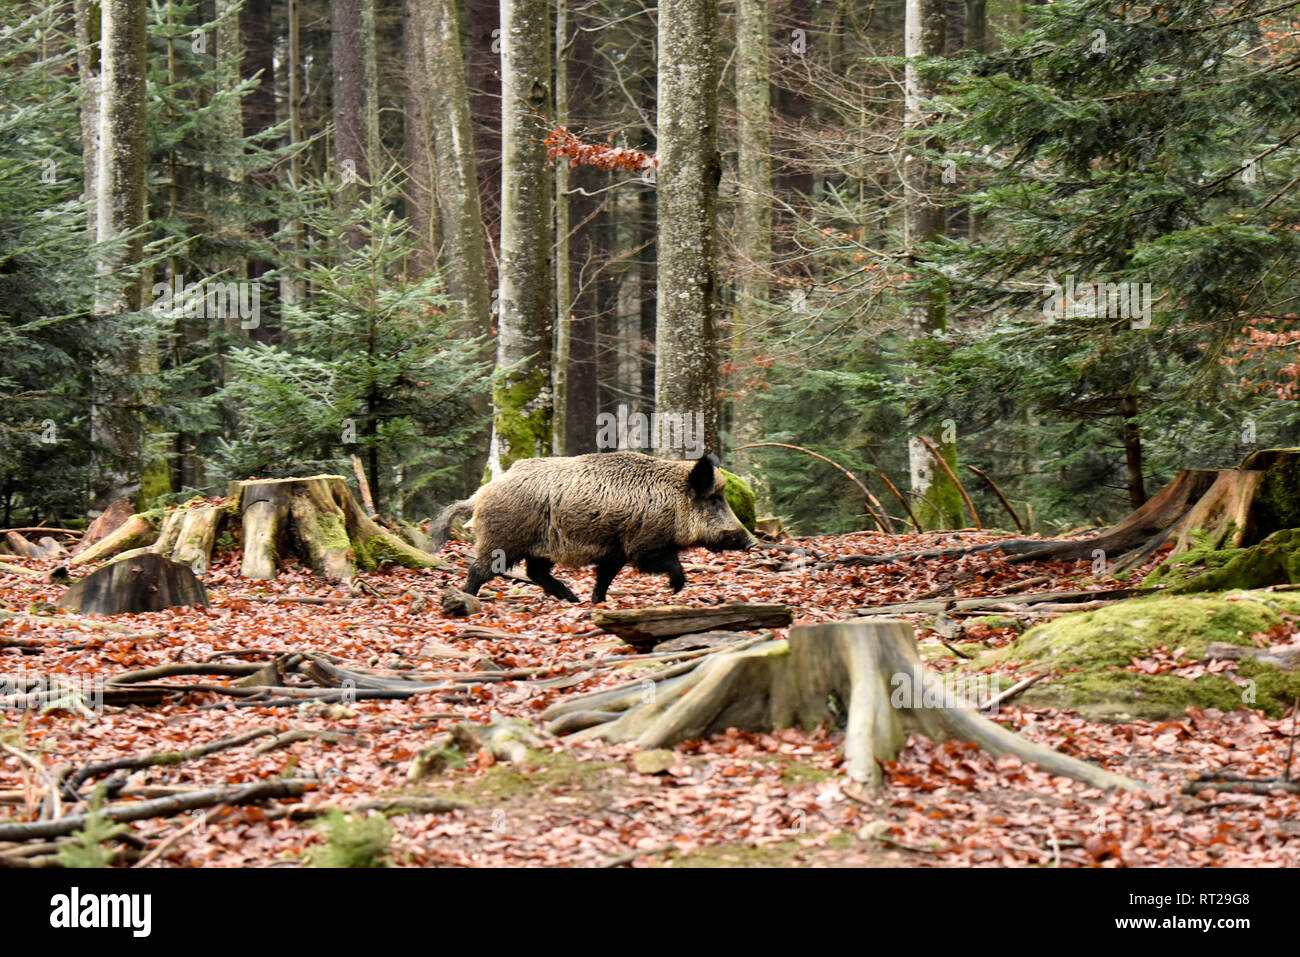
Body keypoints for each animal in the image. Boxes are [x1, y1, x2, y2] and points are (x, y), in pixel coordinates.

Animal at [431, 451, 756, 603]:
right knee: (480, 569)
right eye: (713, 500)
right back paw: (466, 598)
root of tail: (478, 496)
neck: (671, 500)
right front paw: (675, 588)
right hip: (503, 539)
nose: (751, 541)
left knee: (535, 572)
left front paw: (598, 601)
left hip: (539, 548)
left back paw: (571, 597)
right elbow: (668, 563)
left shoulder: (616, 551)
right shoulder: (642, 546)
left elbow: (605, 577)